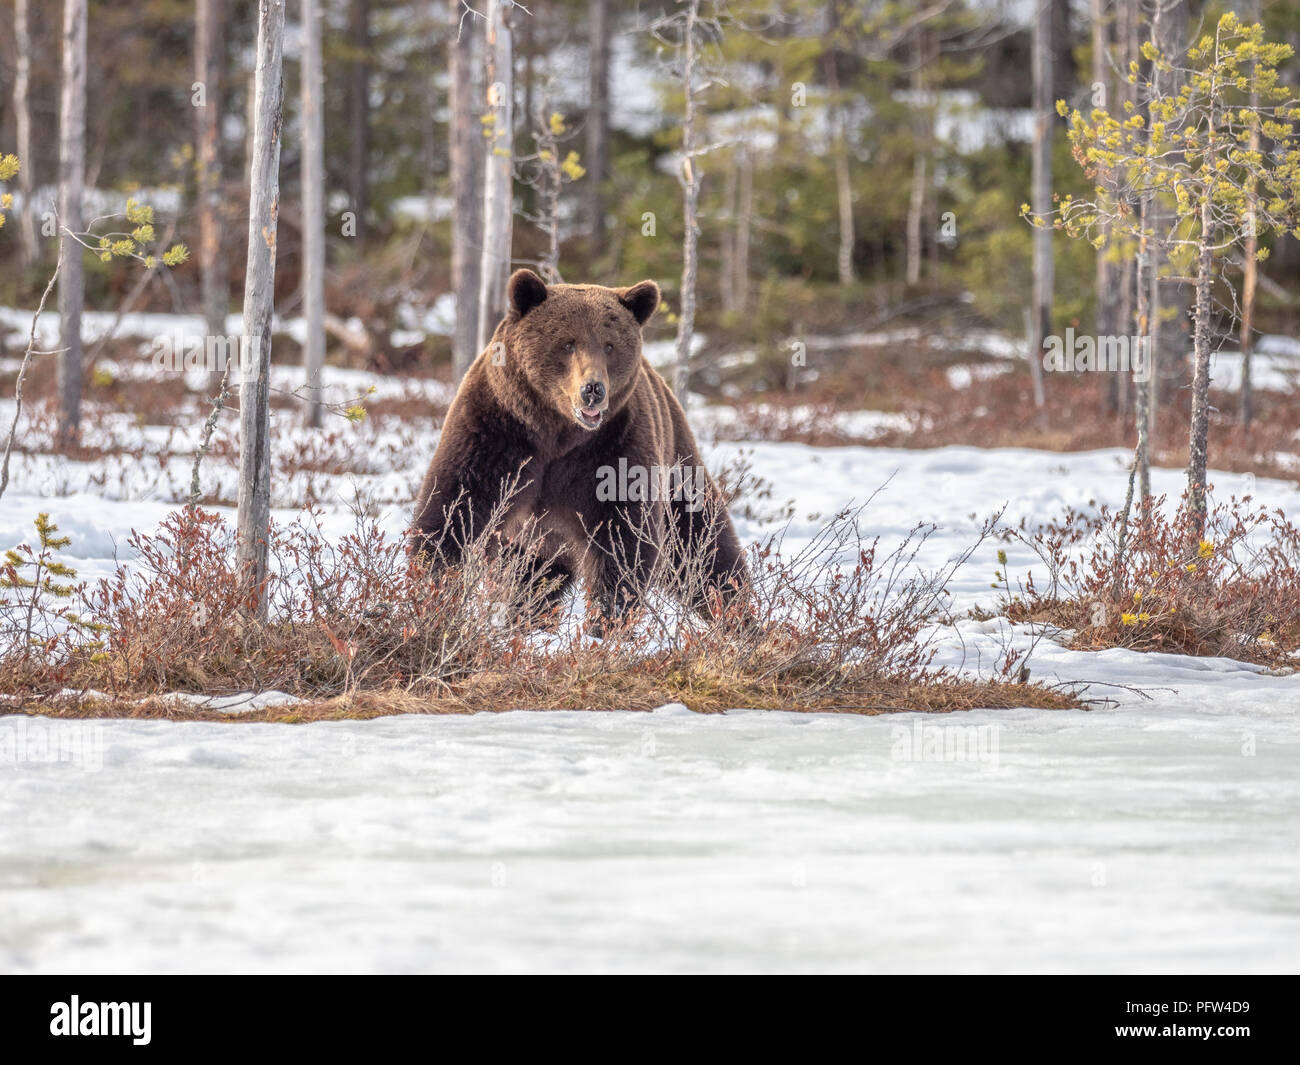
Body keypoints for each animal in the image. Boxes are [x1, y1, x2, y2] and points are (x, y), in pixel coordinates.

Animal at [411, 268, 748, 628]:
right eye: (568, 342)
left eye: (610, 345)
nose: (593, 389)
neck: (557, 432)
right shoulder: (497, 430)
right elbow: (453, 510)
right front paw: (429, 598)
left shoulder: (612, 449)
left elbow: (623, 538)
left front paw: (607, 620)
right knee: (529, 581)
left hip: (676, 469)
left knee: (703, 550)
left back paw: (743, 619)